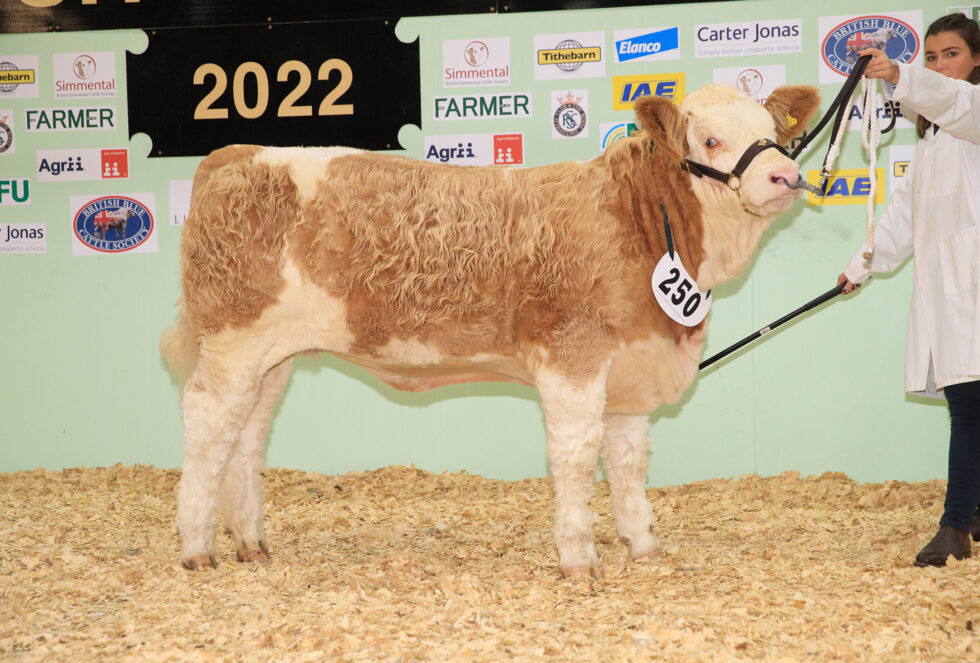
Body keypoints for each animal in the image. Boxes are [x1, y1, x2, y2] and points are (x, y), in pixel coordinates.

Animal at [161, 83, 820, 577]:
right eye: (711, 138)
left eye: (775, 131)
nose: (786, 176)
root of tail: (238, 153)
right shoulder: (573, 356)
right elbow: (577, 457)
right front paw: (578, 559)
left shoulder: (631, 365)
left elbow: (629, 461)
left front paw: (644, 546)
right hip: (233, 341)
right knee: (206, 424)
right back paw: (197, 547)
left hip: (271, 358)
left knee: (246, 436)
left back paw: (251, 543)